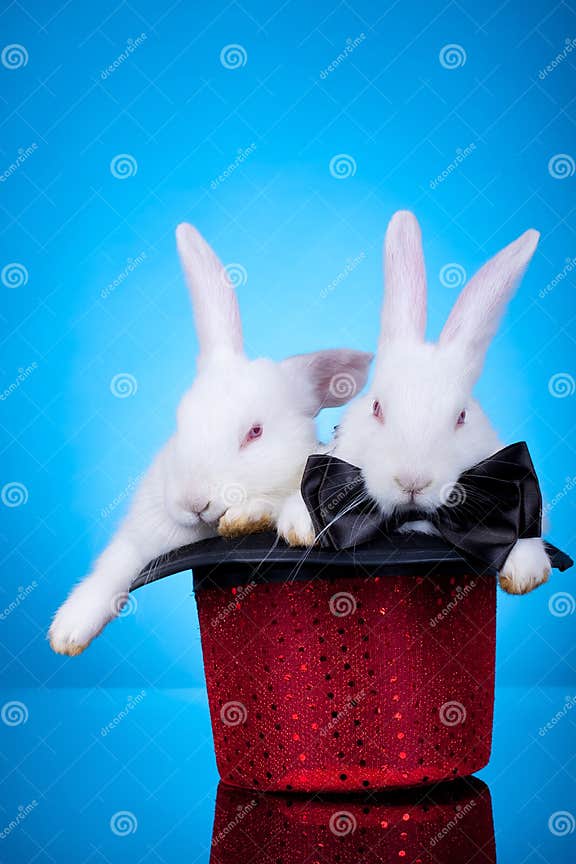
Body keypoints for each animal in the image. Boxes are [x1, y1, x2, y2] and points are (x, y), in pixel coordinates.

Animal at [48, 223, 372, 656]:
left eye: (254, 432)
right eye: (179, 422)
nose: (193, 503)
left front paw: (272, 522)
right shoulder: (140, 535)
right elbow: (115, 564)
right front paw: (68, 632)